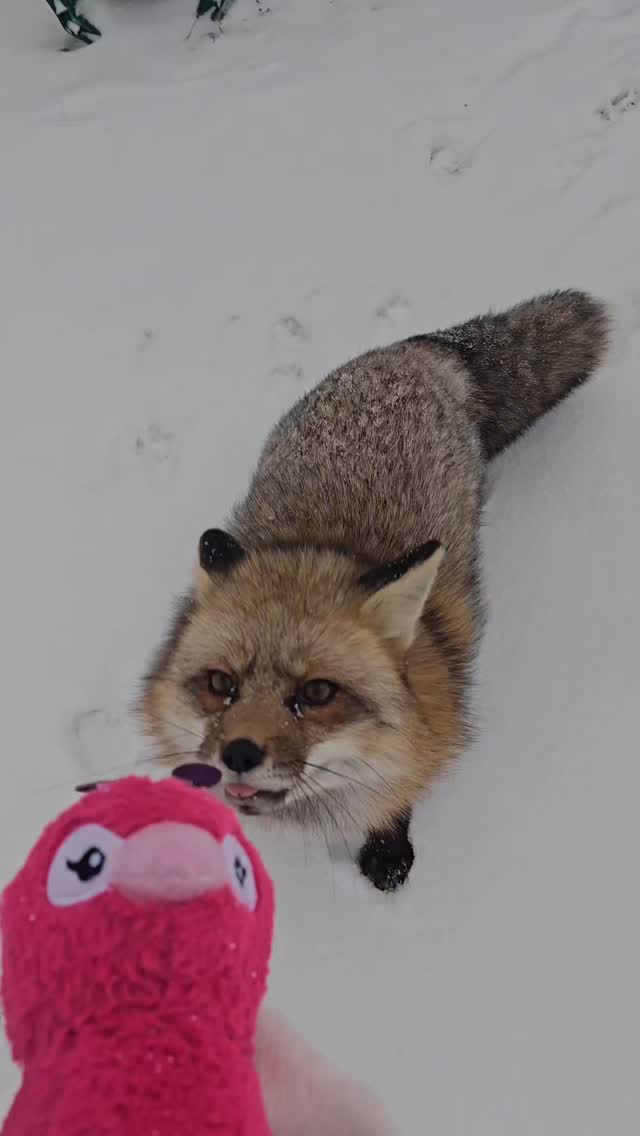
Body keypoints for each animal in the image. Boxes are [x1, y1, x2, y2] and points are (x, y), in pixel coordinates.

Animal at [140, 289, 610, 892]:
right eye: (221, 684)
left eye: (318, 693)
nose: (237, 754)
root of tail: (412, 352)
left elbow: (403, 785)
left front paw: (388, 845)